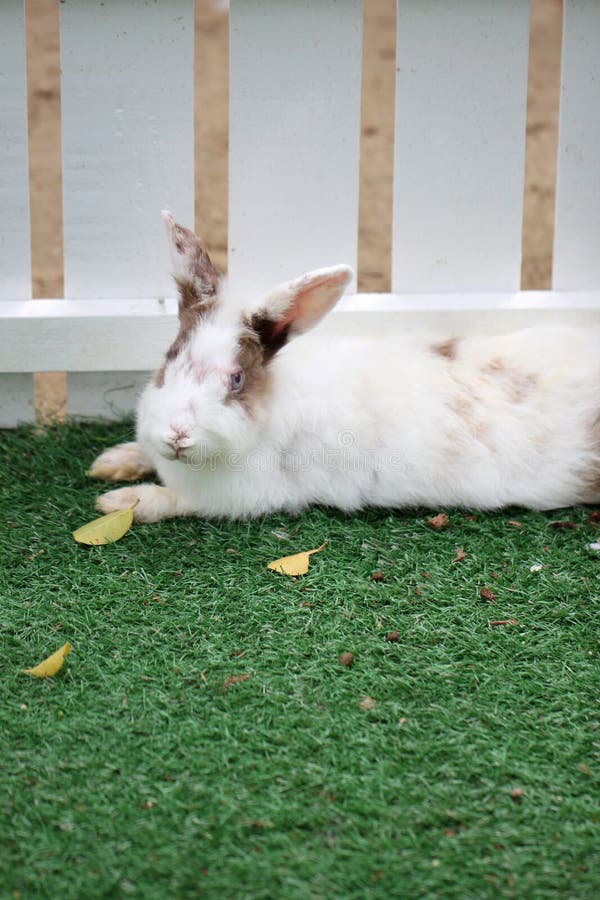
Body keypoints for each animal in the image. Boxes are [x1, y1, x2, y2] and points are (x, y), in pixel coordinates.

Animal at [90, 213, 600, 522]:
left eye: (236, 380)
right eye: (169, 359)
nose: (178, 434)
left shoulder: (235, 497)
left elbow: (171, 499)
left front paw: (118, 500)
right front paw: (112, 463)